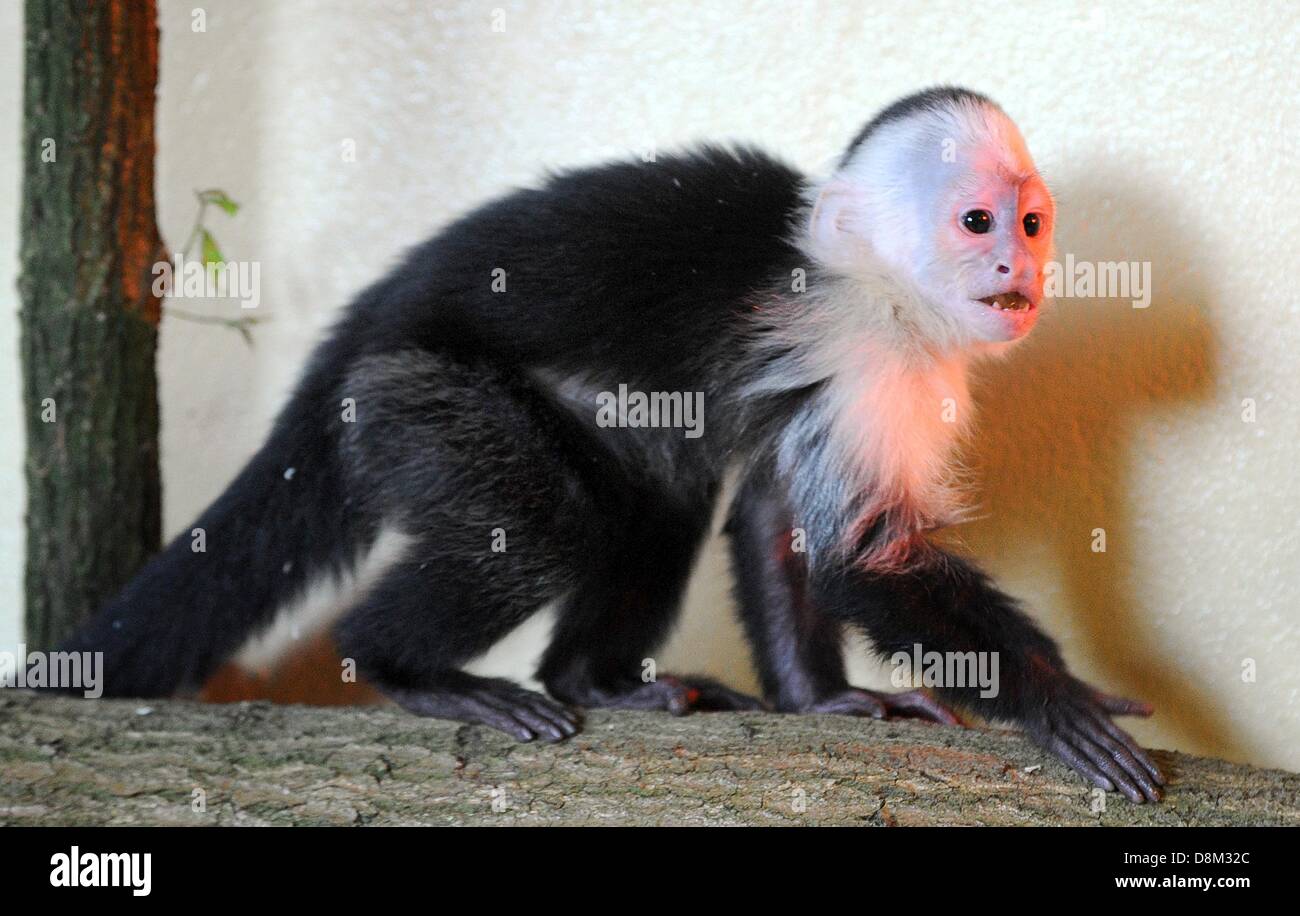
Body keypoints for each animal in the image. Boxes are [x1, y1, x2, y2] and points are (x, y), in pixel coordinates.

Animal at [55, 87, 1164, 802]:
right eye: (976, 222)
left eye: (1029, 222)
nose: (1018, 268)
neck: (865, 279)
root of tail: (356, 335)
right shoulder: (872, 351)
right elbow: (863, 557)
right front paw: (1056, 696)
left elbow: (776, 516)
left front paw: (827, 699)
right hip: (408, 395)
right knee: (544, 523)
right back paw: (408, 667)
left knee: (653, 502)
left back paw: (593, 678)